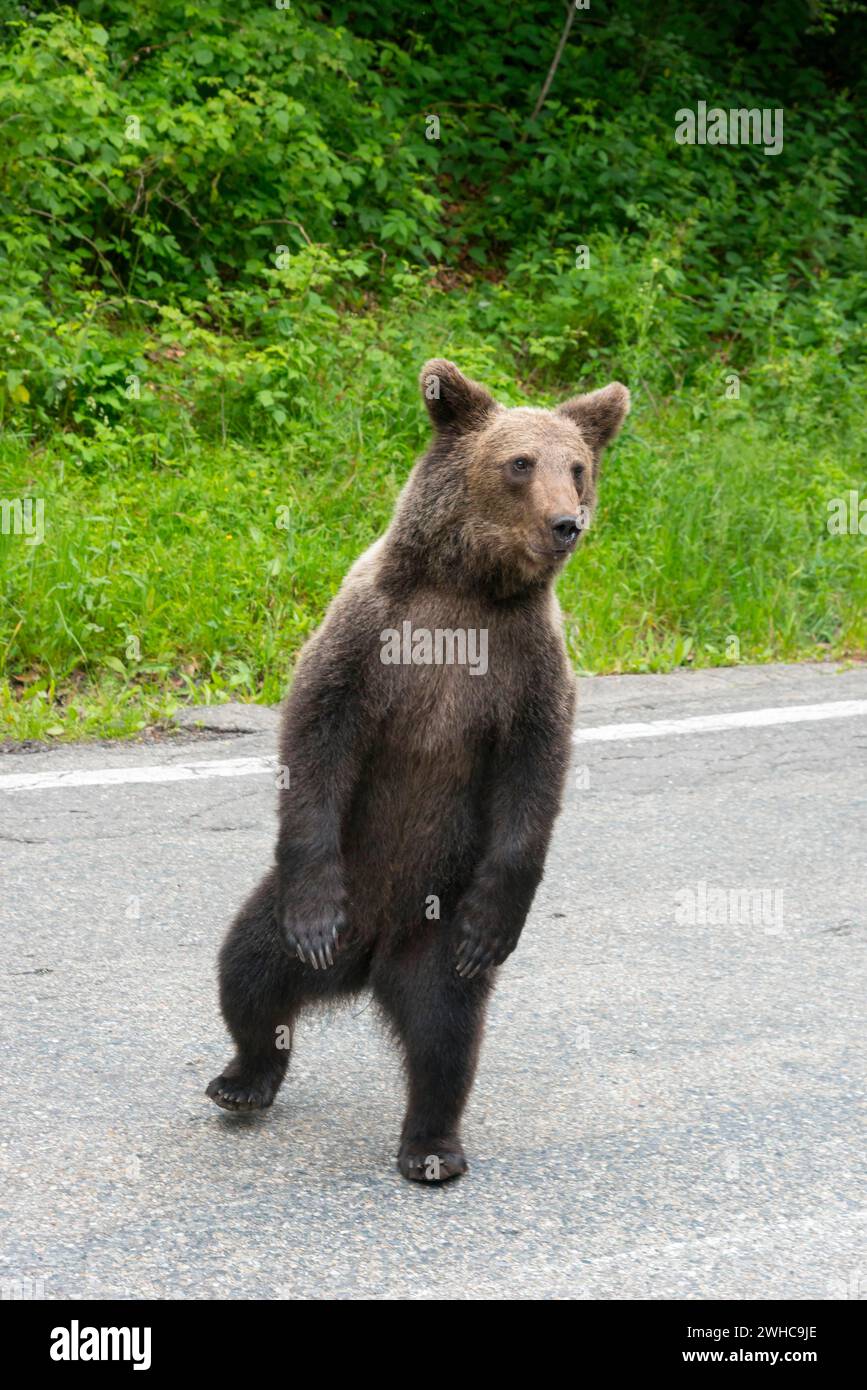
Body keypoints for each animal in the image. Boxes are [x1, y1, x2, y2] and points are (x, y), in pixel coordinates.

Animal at [206, 359, 629, 1182]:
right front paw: (311, 919)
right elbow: (316, 733)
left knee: (445, 1030)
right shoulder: (372, 631)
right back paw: (245, 1077)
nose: (568, 523)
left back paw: (432, 1146)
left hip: (435, 926)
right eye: (519, 462)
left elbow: (535, 778)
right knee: (249, 971)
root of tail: (367, 961)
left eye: (577, 467)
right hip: (322, 895)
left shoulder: (527, 668)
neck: (469, 589)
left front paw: (500, 920)